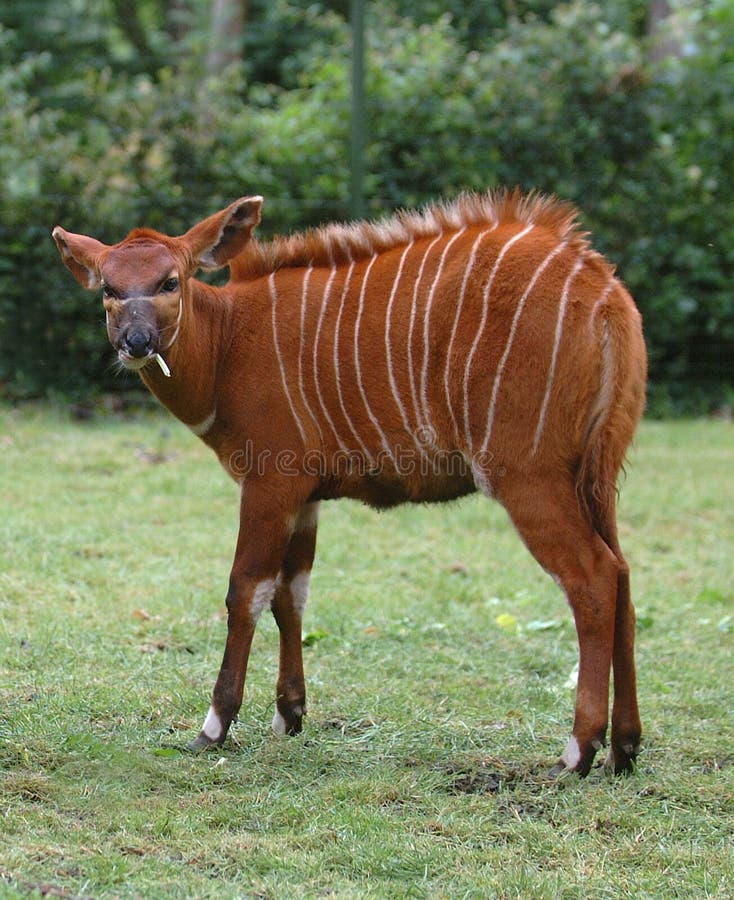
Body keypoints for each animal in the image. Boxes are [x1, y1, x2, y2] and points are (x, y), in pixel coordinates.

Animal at [52, 189, 646, 776]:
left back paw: (578, 751)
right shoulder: (305, 496)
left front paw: (213, 729)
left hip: (528, 475)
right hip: (595, 477)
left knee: (592, 578)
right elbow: (291, 594)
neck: (229, 341)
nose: (136, 341)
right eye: (109, 287)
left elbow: (246, 590)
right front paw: (289, 716)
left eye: (170, 281)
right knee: (622, 574)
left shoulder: (269, 483)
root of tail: (604, 291)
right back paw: (624, 748)